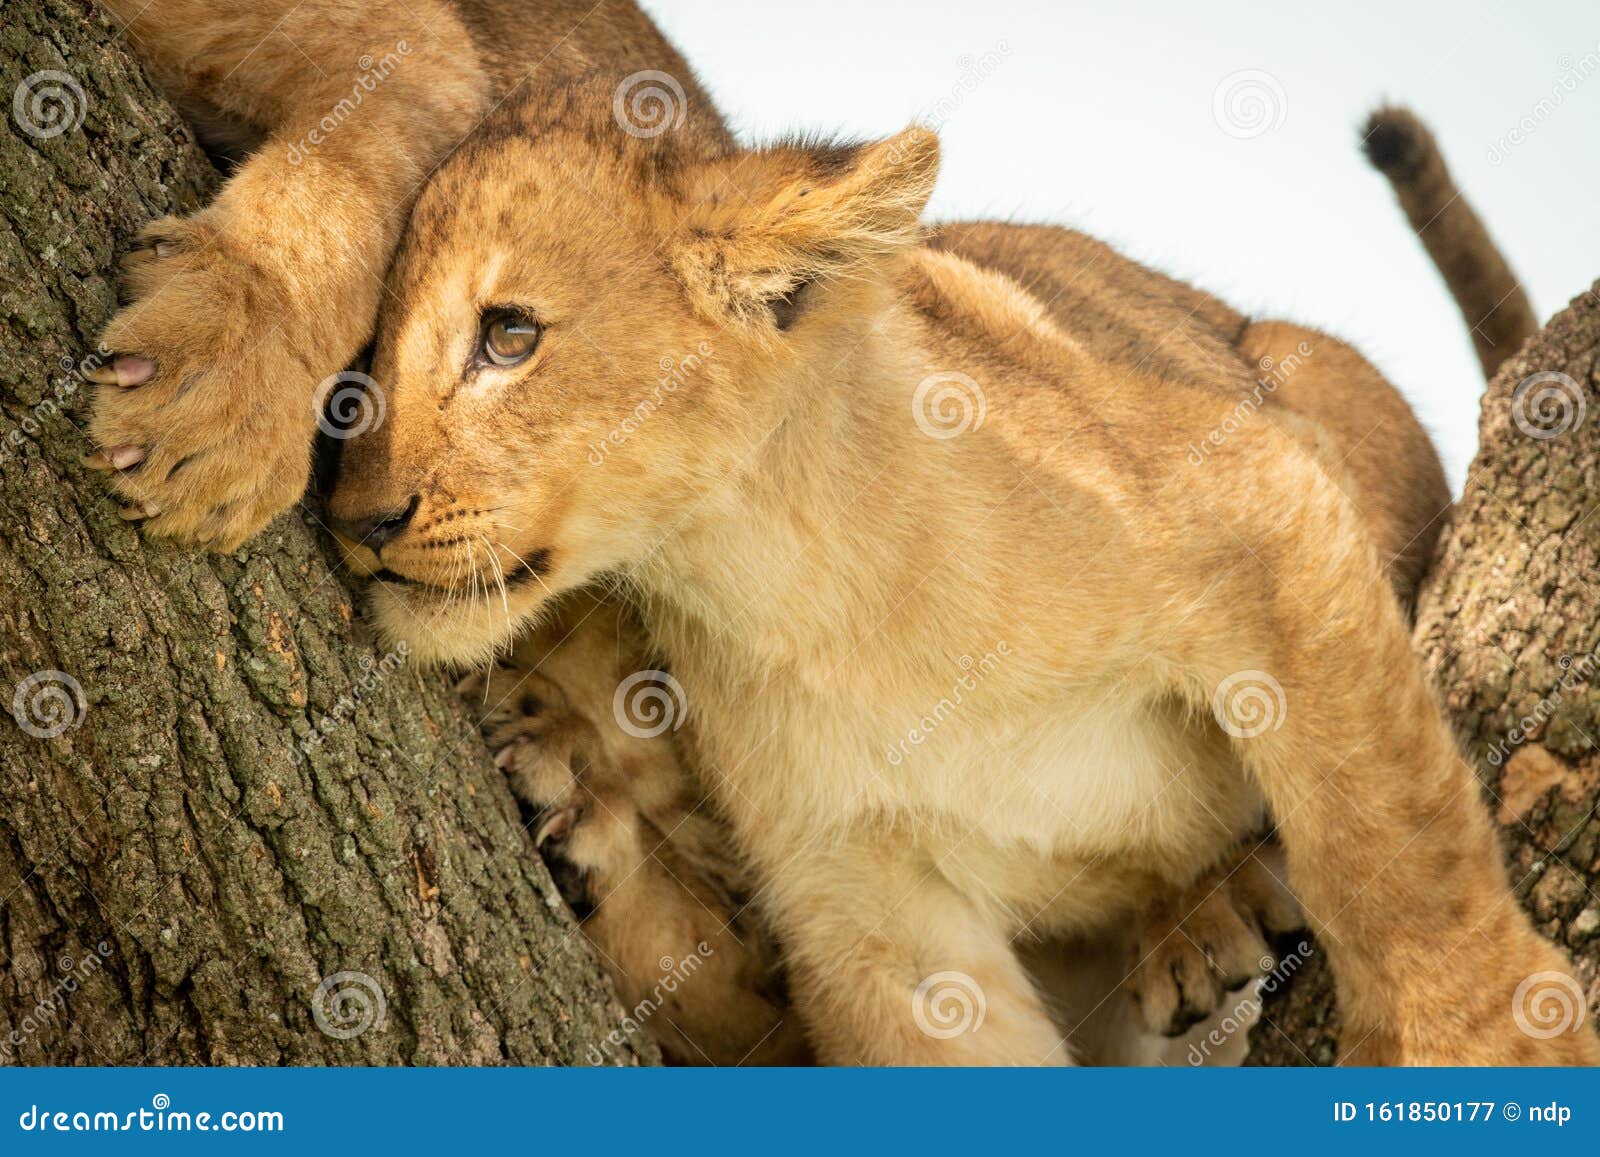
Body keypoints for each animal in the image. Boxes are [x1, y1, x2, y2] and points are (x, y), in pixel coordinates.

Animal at [314, 74, 1596, 1065]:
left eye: (510, 335)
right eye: (362, 357)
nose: (358, 519)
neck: (786, 574)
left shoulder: (1261, 504)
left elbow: (1386, 830)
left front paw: (1479, 1037)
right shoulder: (867, 900)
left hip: (1296, 365)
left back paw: (1212, 910)